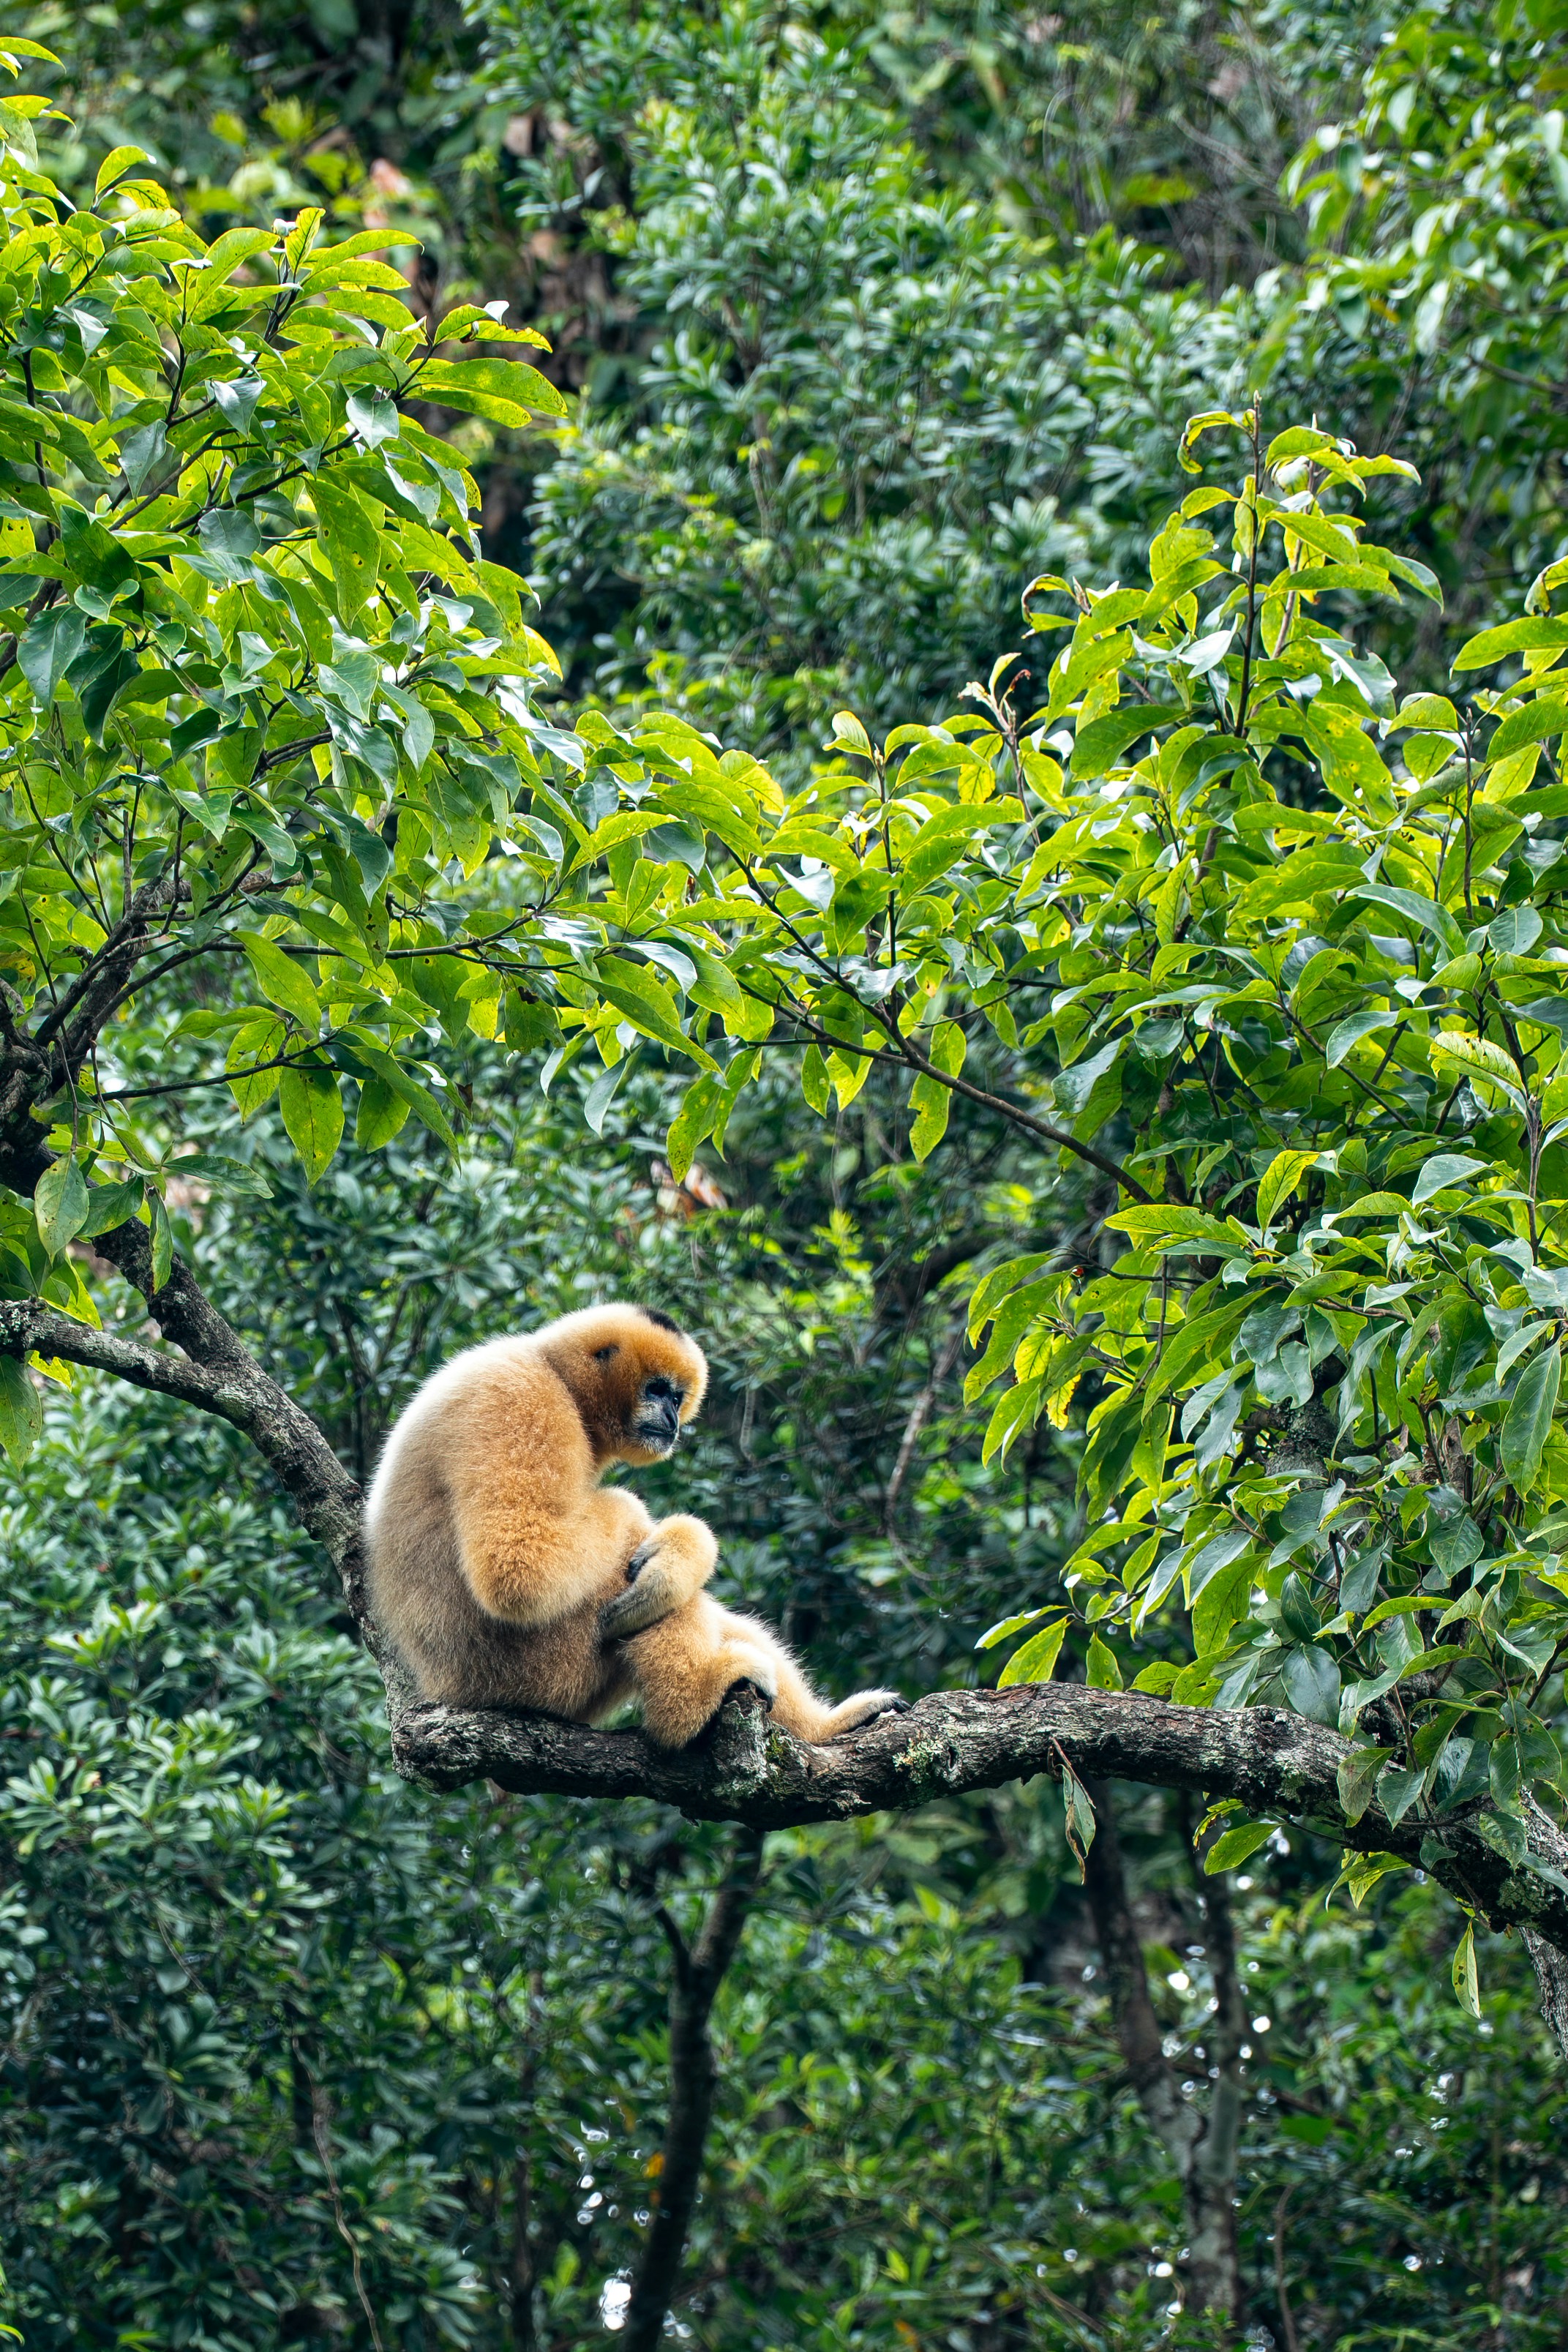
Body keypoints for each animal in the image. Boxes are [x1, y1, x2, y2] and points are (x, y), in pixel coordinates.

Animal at [363, 1303, 905, 1748]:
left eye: (677, 1397)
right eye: (657, 1389)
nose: (672, 1419)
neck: (552, 1370)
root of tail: (448, 1690)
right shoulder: (518, 1400)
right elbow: (519, 1570)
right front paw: (663, 1528)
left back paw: (824, 1728)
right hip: (533, 1671)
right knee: (641, 1584)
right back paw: (691, 1708)